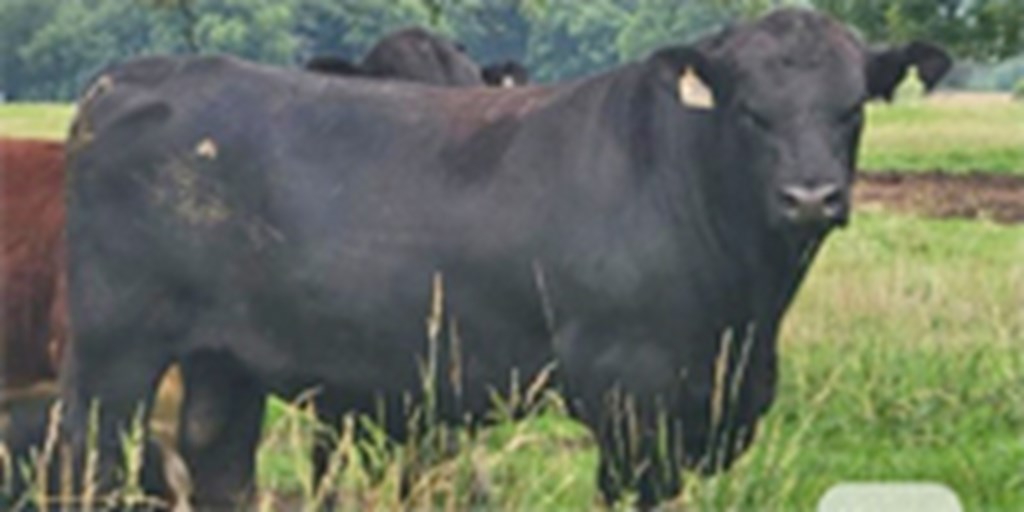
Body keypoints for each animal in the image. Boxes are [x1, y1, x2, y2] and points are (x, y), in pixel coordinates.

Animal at [53, 8, 950, 509]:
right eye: (751, 110)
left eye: (851, 108)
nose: (811, 197)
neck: (748, 313)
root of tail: (128, 79)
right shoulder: (632, 401)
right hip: (112, 357)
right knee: (83, 465)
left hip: (223, 365)